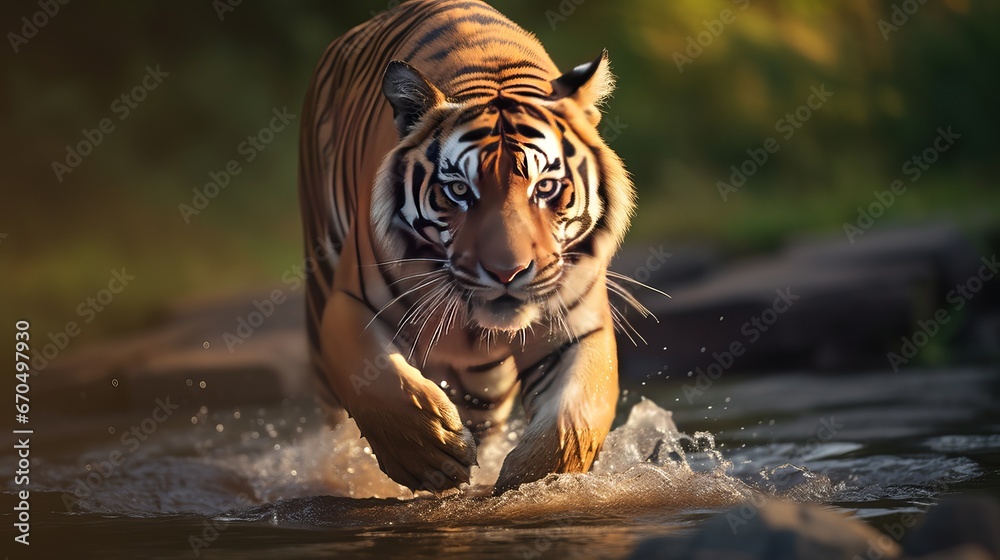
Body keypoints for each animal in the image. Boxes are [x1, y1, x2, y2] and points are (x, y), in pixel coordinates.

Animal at [298, 0, 635, 495]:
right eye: (459, 190)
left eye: (545, 187)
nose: (507, 272)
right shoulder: (351, 304)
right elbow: (380, 384)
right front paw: (431, 455)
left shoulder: (578, 325)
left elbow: (575, 416)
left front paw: (530, 484)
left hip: (485, 383)